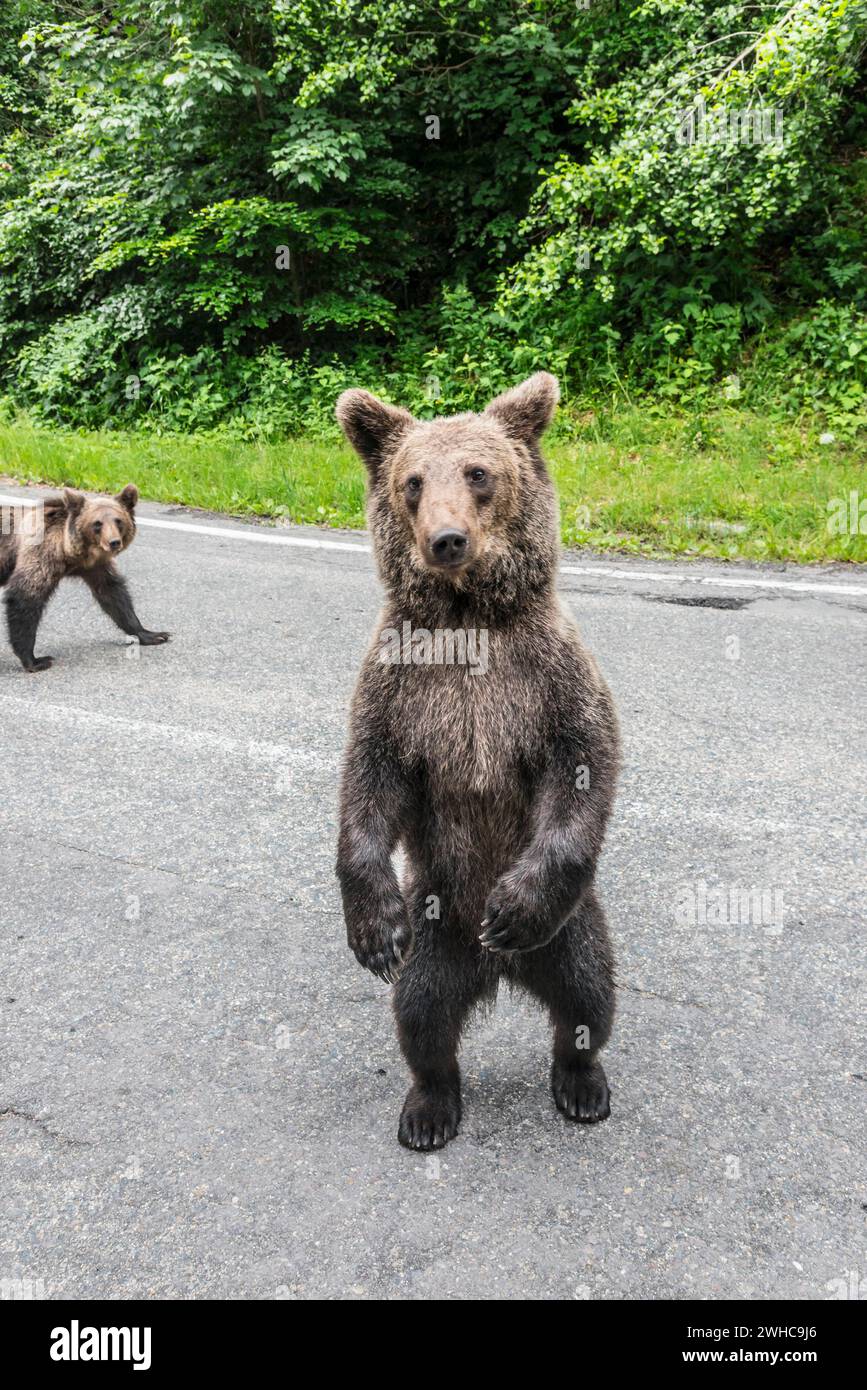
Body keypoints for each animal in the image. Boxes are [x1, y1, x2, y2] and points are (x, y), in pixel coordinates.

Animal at [0, 485, 169, 672]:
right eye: (97, 523)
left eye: (118, 520)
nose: (114, 542)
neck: (71, 553)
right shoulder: (42, 553)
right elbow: (25, 597)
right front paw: (35, 660)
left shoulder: (95, 567)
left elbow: (114, 596)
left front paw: (153, 635)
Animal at [334, 373, 621, 1151]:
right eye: (411, 481)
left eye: (478, 472)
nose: (446, 538)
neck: (467, 621)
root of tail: (497, 970)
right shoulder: (400, 688)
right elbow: (370, 780)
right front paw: (371, 933)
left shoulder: (546, 677)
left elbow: (585, 759)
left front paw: (514, 907)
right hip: (435, 927)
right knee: (422, 1016)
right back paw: (428, 1107)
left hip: (573, 924)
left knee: (588, 995)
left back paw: (581, 1082)